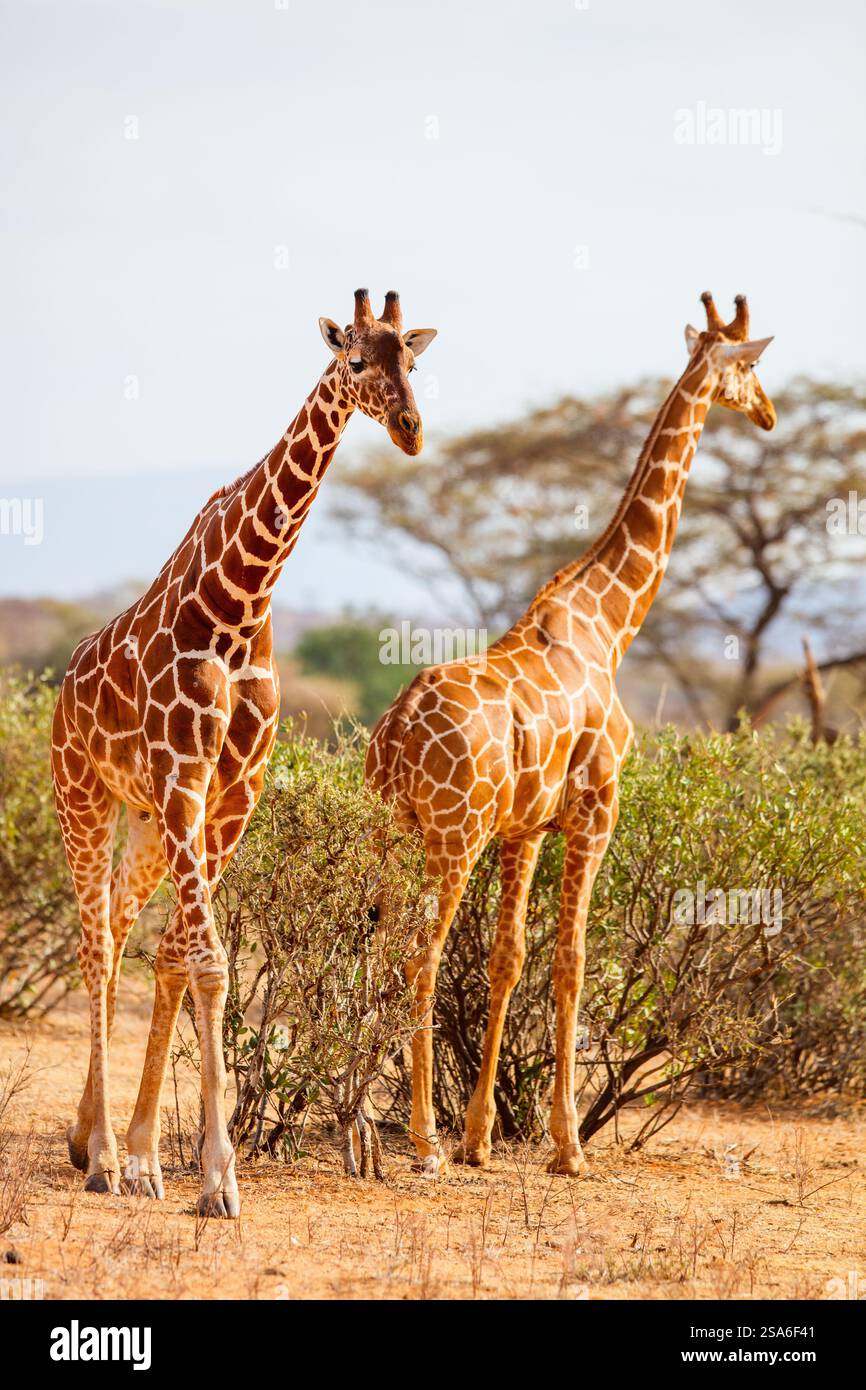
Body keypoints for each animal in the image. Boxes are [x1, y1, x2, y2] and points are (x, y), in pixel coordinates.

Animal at [52, 288, 437, 1216]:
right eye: (355, 361)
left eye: (413, 358)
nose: (410, 429)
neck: (241, 596)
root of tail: (61, 687)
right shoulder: (185, 781)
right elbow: (212, 961)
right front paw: (216, 1178)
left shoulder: (231, 792)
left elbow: (183, 957)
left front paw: (162, 1162)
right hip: (83, 797)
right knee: (93, 946)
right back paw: (102, 1155)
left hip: (143, 822)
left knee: (123, 939)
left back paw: (99, 1144)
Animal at [367, 292, 775, 1175]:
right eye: (752, 365)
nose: (767, 414)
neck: (610, 621)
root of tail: (398, 733)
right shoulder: (596, 812)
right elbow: (573, 961)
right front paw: (564, 1146)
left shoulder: (524, 829)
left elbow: (507, 959)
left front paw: (483, 1136)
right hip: (451, 837)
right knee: (418, 954)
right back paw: (421, 1141)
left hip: (390, 829)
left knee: (367, 943)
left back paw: (364, 1128)